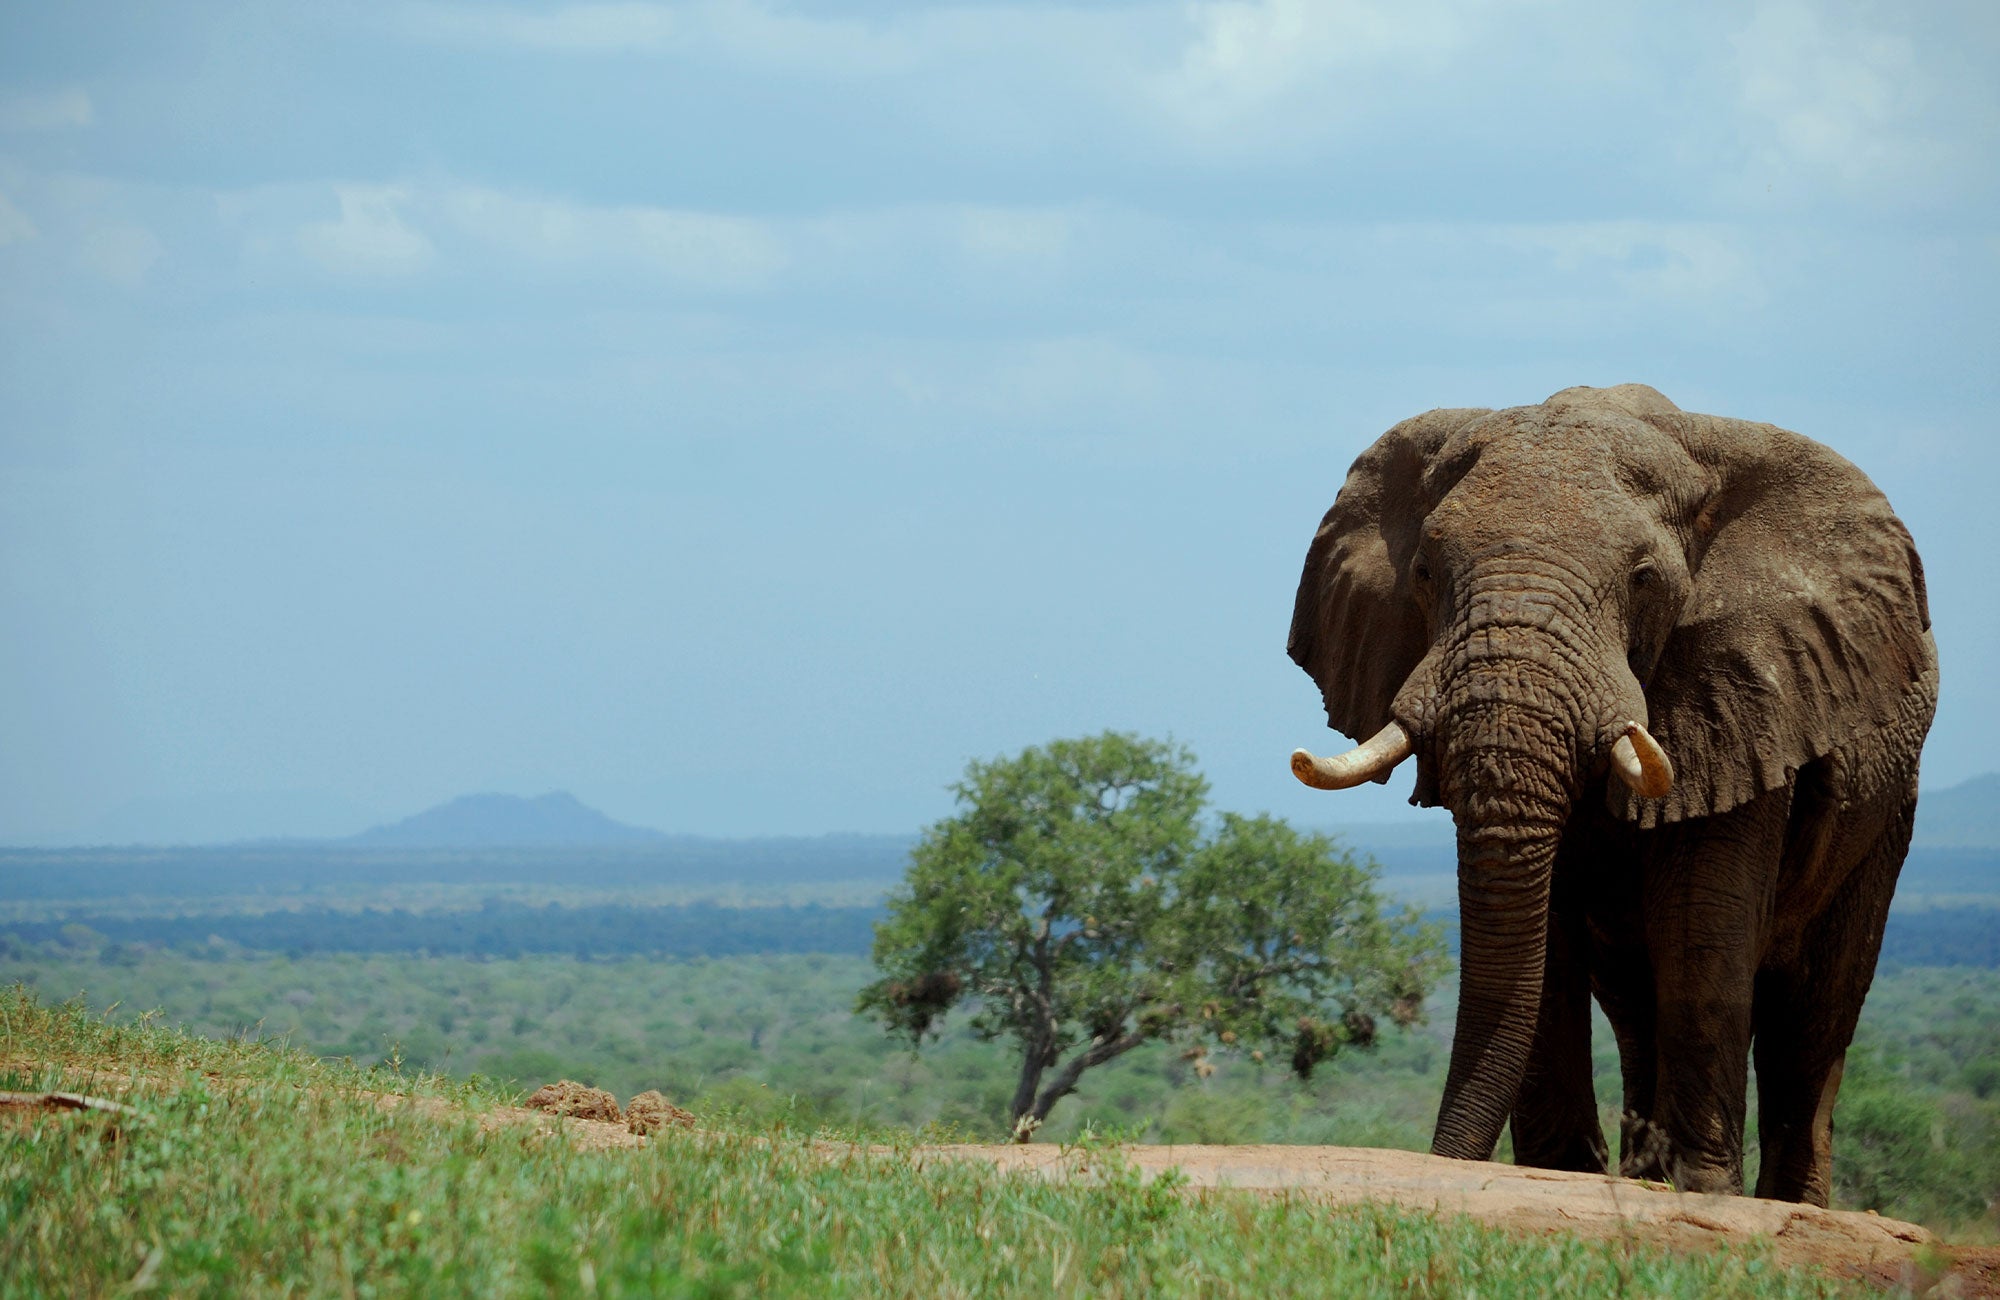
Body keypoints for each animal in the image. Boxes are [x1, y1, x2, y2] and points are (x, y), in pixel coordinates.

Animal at [1285, 384, 1936, 1205]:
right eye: (1426, 572)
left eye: (1643, 579)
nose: (1447, 1166)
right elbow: (1546, 931)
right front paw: (1564, 1174)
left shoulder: (1752, 690)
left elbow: (1698, 922)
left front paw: (1700, 1192)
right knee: (1635, 1001)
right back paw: (1643, 1174)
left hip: (1887, 814)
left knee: (1816, 1011)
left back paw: (1778, 1200)